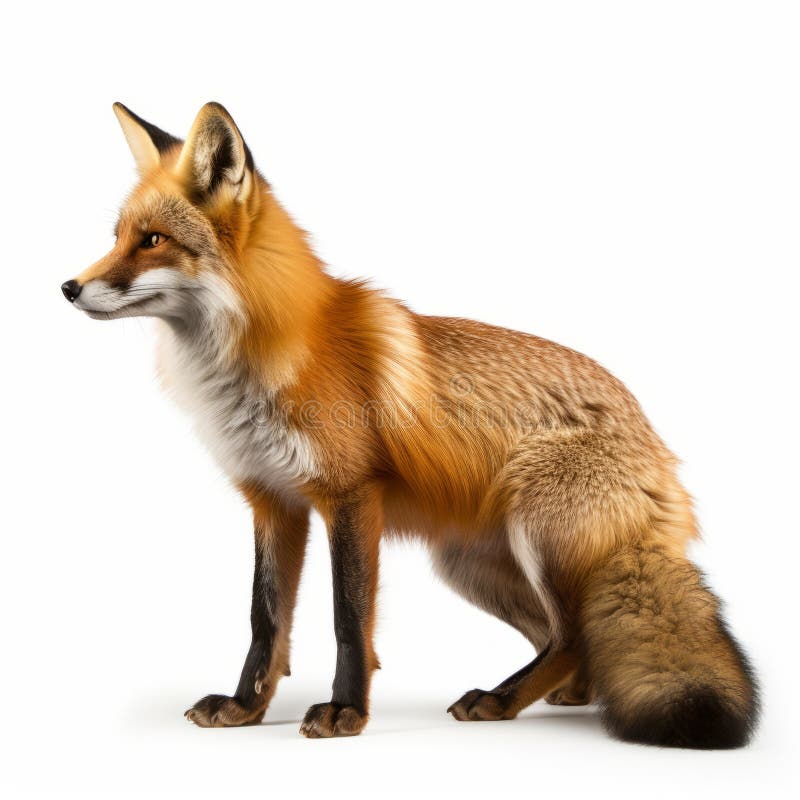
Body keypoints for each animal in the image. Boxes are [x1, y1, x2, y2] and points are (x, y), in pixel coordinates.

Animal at [62, 102, 758, 748]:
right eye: (117, 237)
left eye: (153, 240)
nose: (68, 287)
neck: (263, 355)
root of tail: (657, 445)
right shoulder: (272, 501)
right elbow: (266, 620)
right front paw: (245, 708)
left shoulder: (350, 497)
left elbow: (348, 619)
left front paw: (345, 712)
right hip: (469, 566)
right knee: (572, 638)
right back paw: (560, 695)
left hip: (538, 536)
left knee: (569, 636)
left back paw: (499, 700)